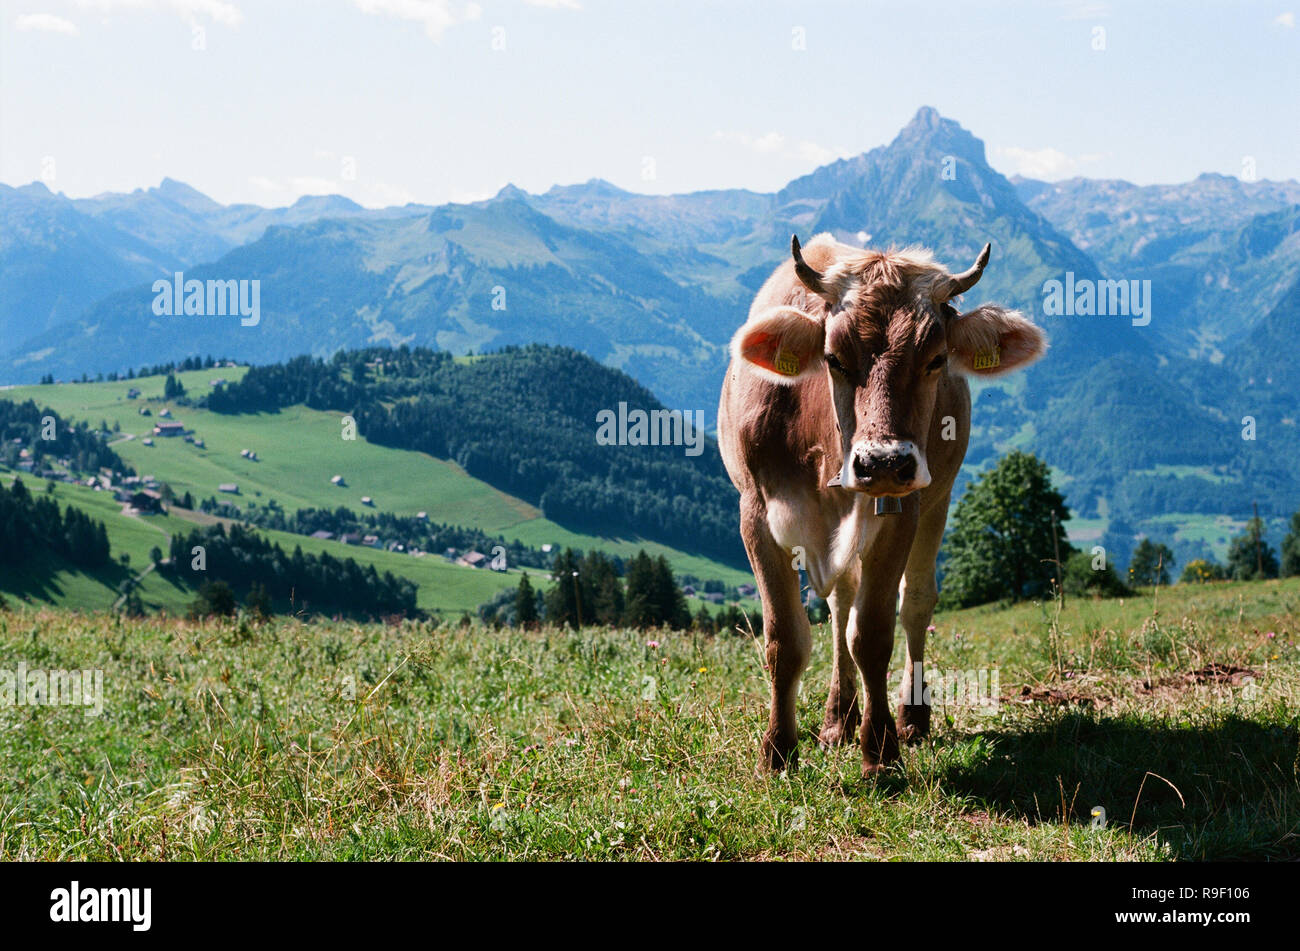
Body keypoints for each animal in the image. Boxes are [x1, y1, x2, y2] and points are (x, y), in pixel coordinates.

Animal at [717, 233, 1047, 776]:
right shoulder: (756, 514)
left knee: (914, 604)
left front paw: (880, 752)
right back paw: (837, 719)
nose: (884, 463)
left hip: (937, 497)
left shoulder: (900, 510)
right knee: (839, 604)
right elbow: (785, 639)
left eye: (936, 358)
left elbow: (871, 635)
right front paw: (779, 751)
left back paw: (912, 718)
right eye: (833, 358)